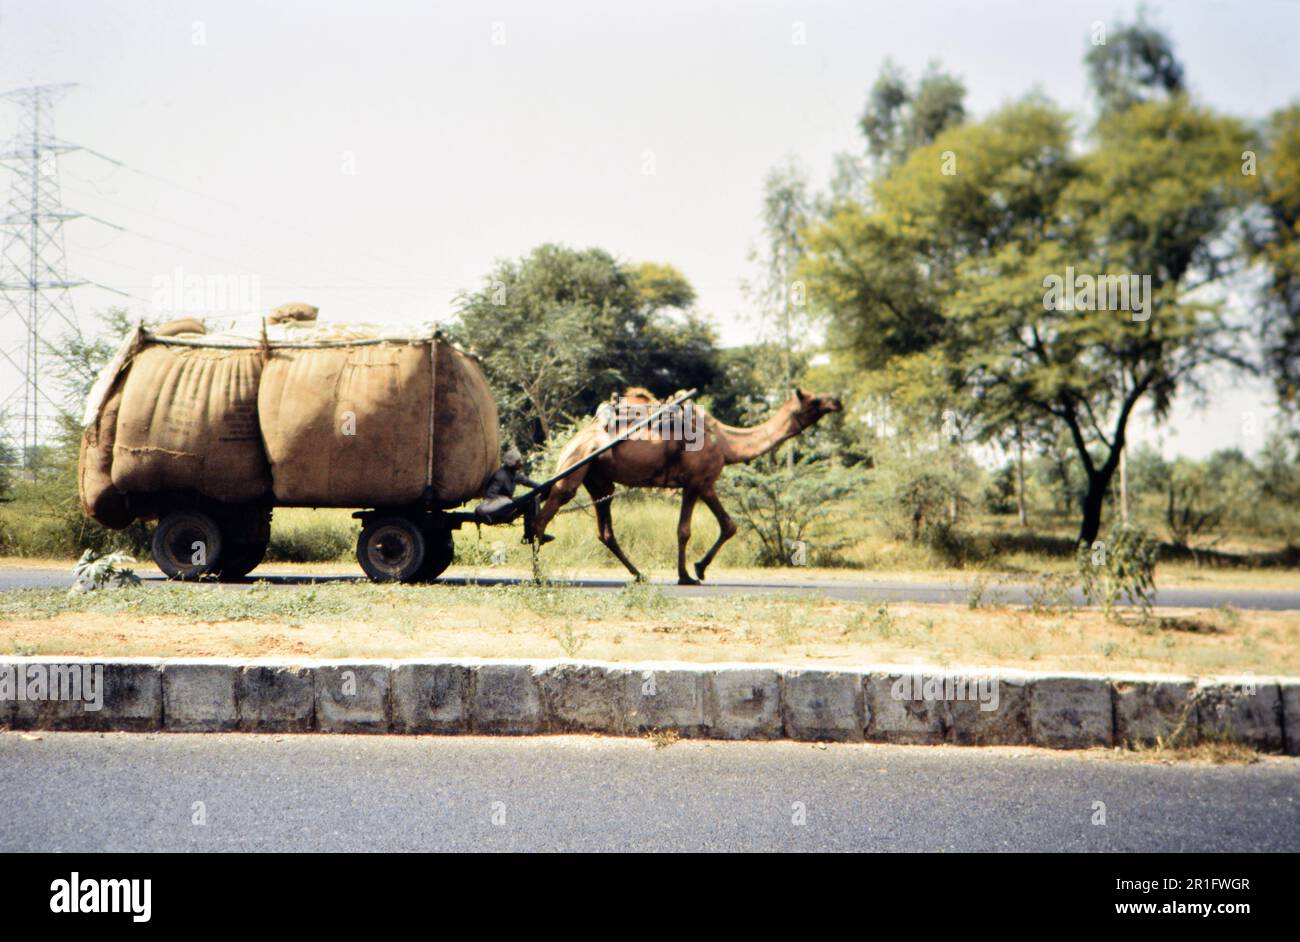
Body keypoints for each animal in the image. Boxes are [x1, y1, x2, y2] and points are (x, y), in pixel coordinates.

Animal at [533, 387, 843, 584]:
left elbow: (724, 526)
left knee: (605, 530)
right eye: (815, 400)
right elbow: (690, 530)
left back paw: (639, 574)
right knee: (543, 516)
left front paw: (694, 570)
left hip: (598, 479)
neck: (726, 443)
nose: (837, 401)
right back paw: (537, 576)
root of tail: (575, 441)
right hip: (575, 467)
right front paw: (690, 574)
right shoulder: (697, 482)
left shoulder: (699, 484)